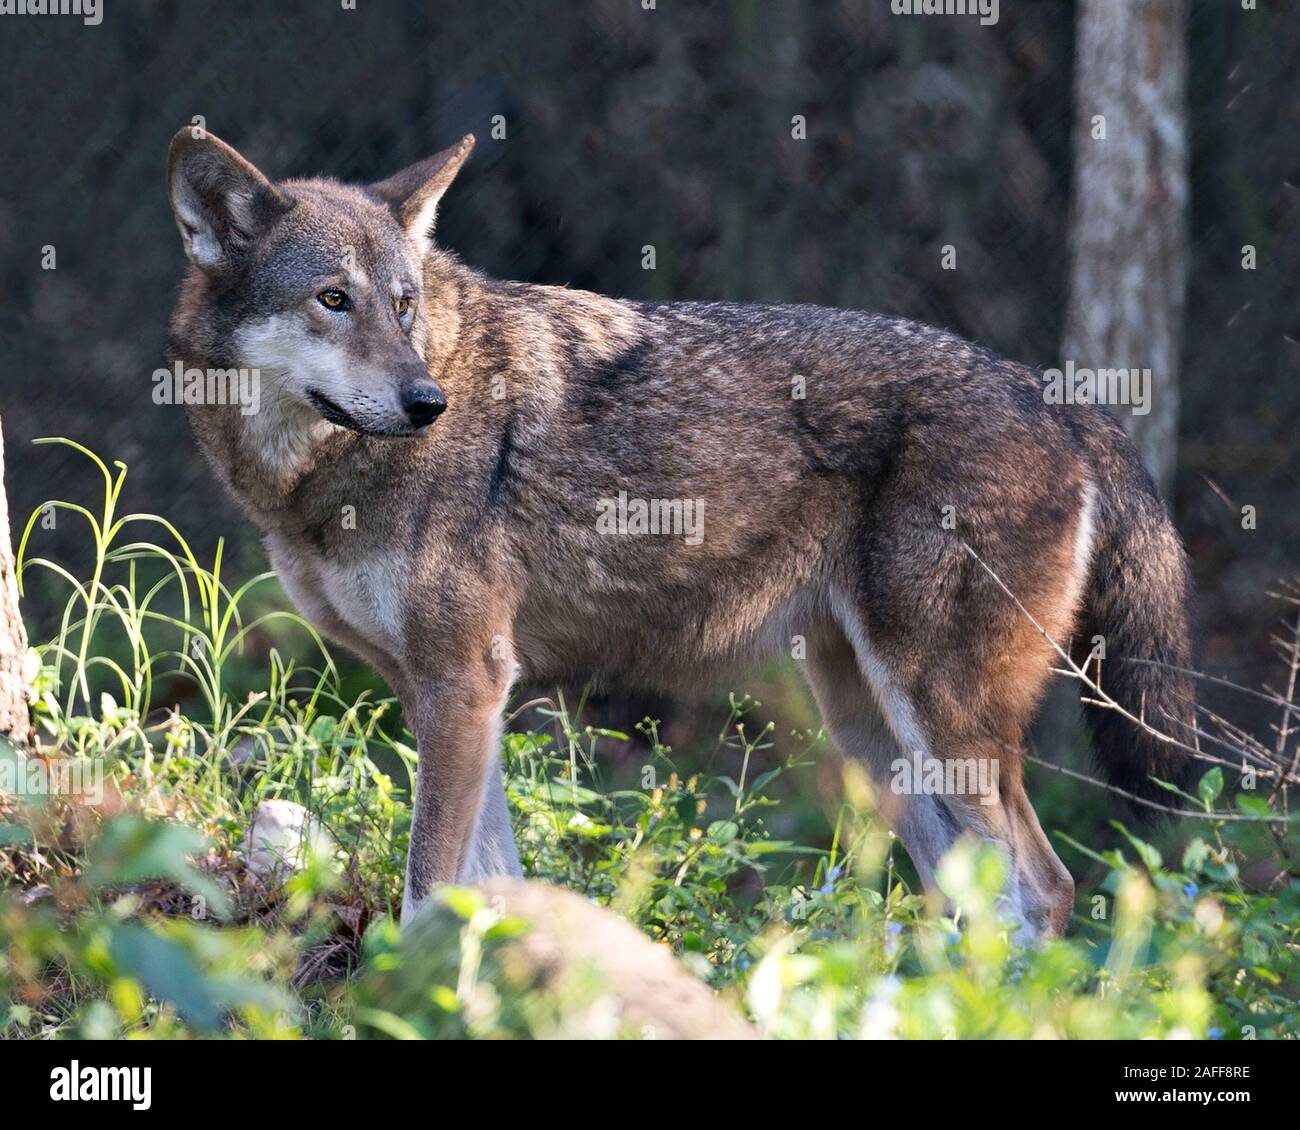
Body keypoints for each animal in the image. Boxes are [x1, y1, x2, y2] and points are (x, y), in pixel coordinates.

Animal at [165, 128, 1196, 937]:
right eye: (333, 299)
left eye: (403, 303)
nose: (427, 401)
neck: (313, 485)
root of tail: (1055, 395)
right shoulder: (459, 693)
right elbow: (494, 887)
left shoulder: (465, 682)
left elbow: (429, 890)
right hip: (874, 735)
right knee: (973, 899)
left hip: (939, 723)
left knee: (1045, 889)